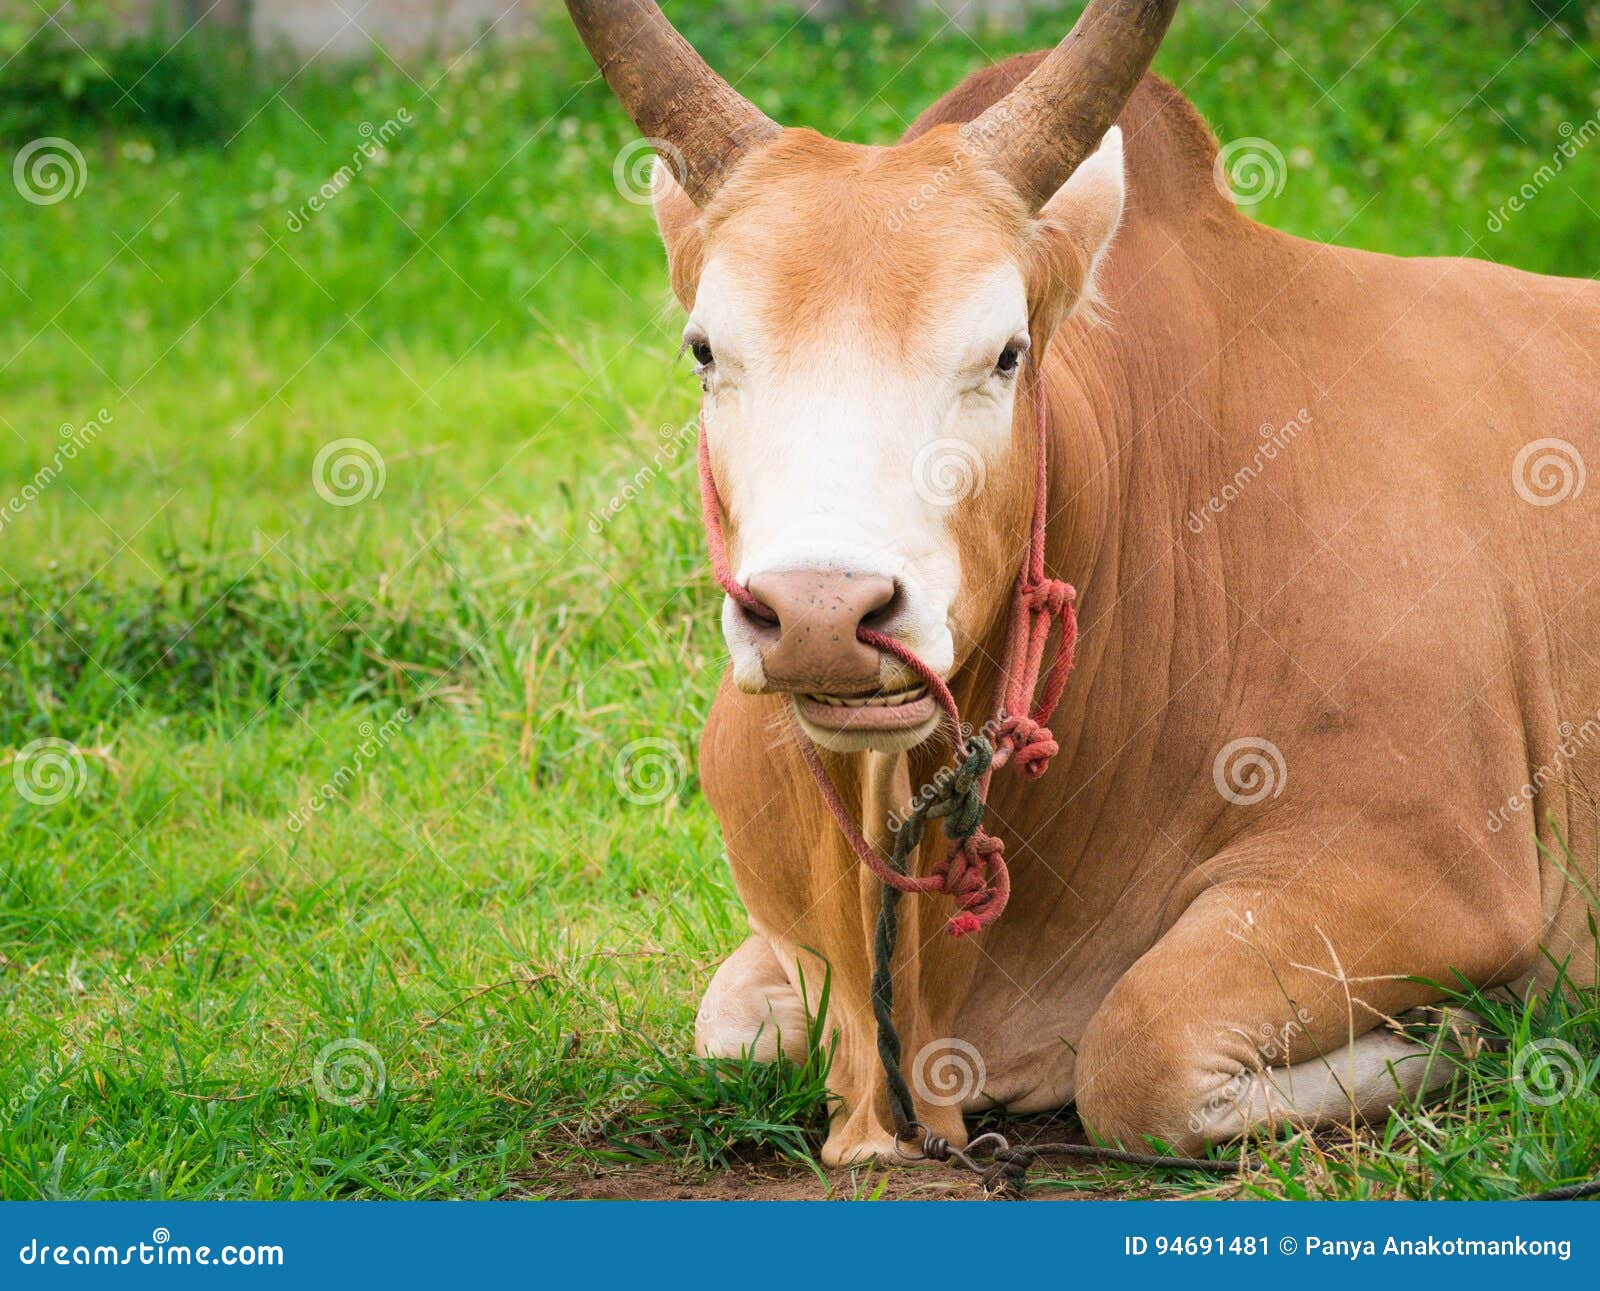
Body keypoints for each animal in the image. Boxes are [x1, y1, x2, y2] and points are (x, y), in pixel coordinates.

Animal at [564, 0, 1600, 1166]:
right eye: (704, 349)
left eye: (1007, 353)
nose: (822, 614)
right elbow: (732, 1025)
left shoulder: (1436, 877)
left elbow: (1135, 1053)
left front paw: (1464, 1031)